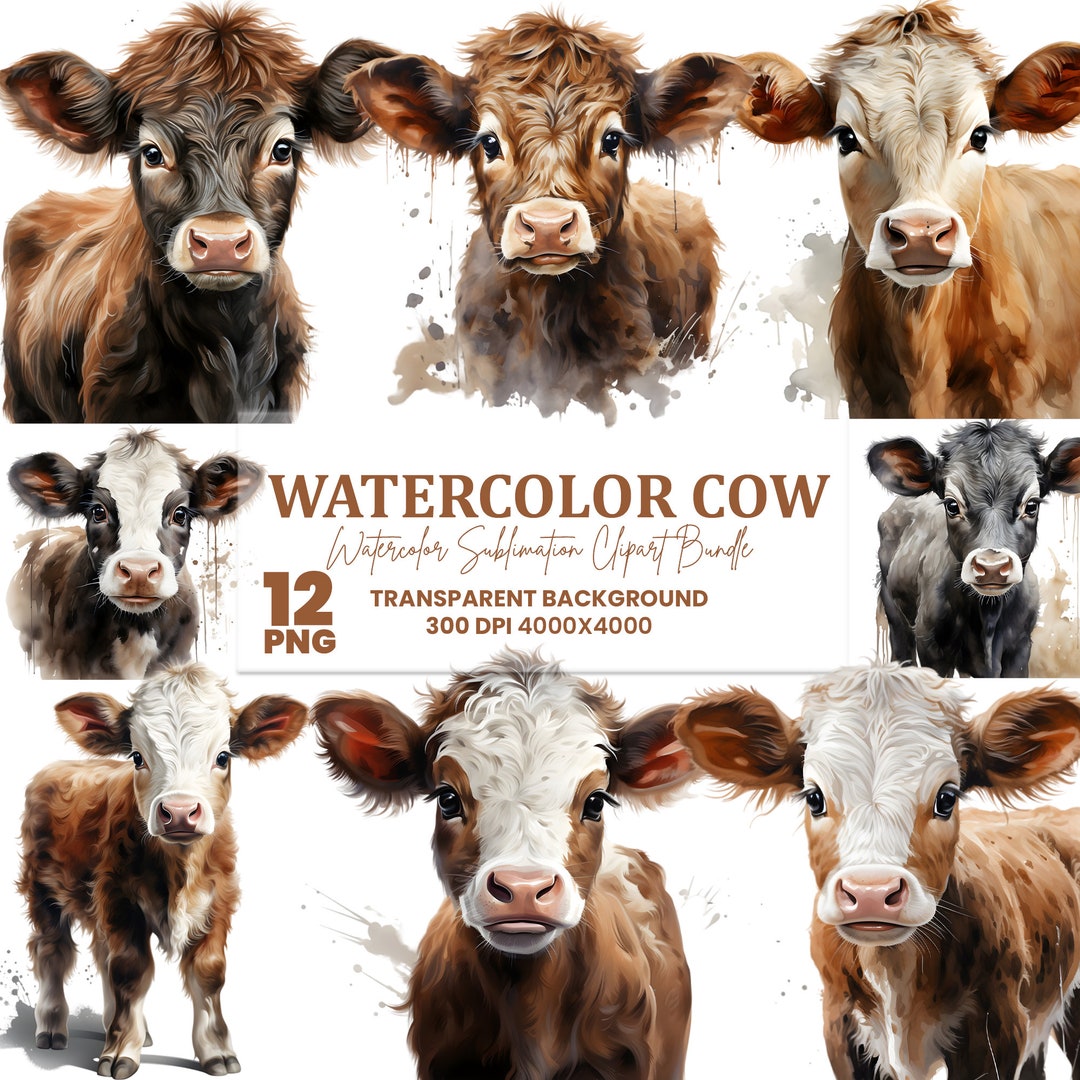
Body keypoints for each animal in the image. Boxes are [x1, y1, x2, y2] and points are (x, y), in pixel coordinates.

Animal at [19, 664, 308, 1078]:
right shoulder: (122, 902)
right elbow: (130, 970)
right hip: (42, 889)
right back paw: (52, 1028)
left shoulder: (218, 901)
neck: (179, 870)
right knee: (52, 952)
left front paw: (216, 1051)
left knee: (100, 956)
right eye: (137, 757)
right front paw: (121, 1051)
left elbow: (209, 973)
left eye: (223, 757)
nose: (181, 812)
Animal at [867, 421, 1080, 677]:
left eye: (1031, 506)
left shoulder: (1020, 648)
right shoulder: (932, 647)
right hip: (894, 610)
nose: (992, 567)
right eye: (951, 505)